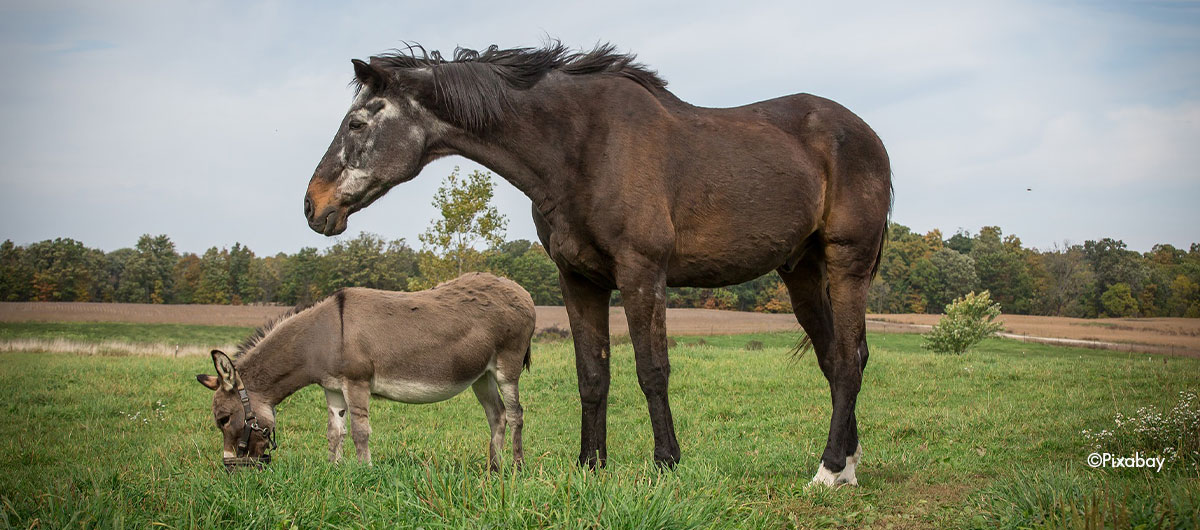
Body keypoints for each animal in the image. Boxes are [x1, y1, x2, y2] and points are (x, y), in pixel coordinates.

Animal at [195, 273, 536, 471]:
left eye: (223, 419)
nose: (230, 469)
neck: (321, 336)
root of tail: (522, 291)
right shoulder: (332, 388)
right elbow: (335, 432)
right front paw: (333, 471)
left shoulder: (355, 382)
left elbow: (360, 431)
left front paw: (364, 472)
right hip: (481, 375)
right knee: (497, 415)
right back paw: (494, 469)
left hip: (507, 367)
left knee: (516, 414)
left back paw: (517, 468)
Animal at [302, 42, 891, 486]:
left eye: (357, 124)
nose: (313, 205)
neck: (583, 145)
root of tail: (867, 135)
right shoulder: (579, 280)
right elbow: (592, 374)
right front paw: (590, 465)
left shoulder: (642, 274)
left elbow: (652, 370)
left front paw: (667, 464)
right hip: (801, 270)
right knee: (836, 358)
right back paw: (848, 464)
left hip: (847, 263)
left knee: (848, 359)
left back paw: (828, 470)